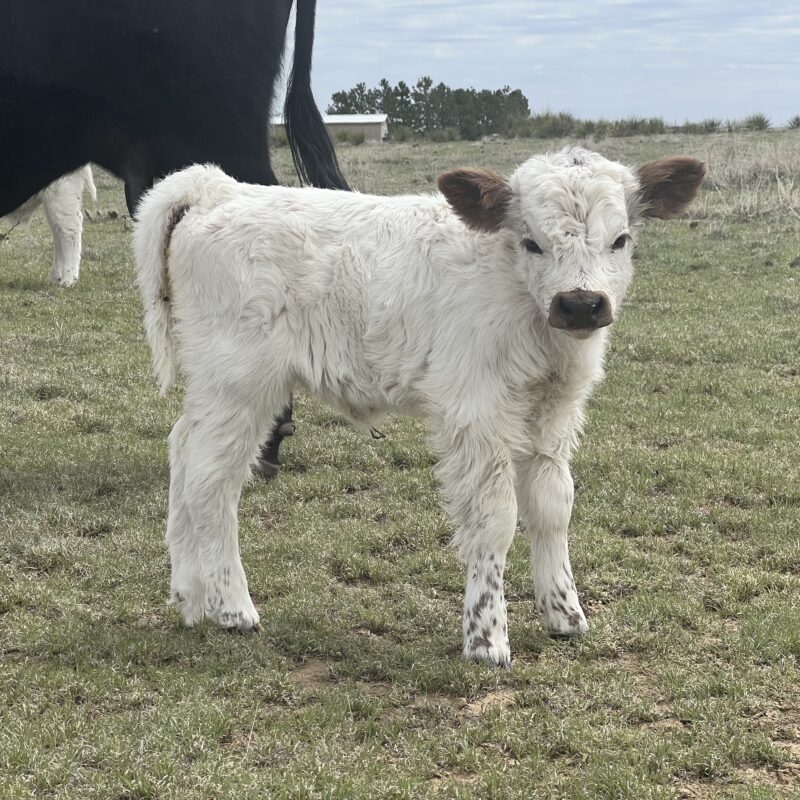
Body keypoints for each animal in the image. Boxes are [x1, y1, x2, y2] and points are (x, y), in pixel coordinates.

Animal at [132, 148, 705, 665]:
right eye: (531, 242)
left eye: (621, 239)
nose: (581, 304)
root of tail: (219, 188)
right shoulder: (476, 413)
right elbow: (496, 518)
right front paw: (486, 638)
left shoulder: (554, 414)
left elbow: (552, 505)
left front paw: (565, 614)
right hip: (241, 382)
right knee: (212, 480)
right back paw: (232, 608)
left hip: (216, 387)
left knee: (182, 450)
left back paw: (189, 598)